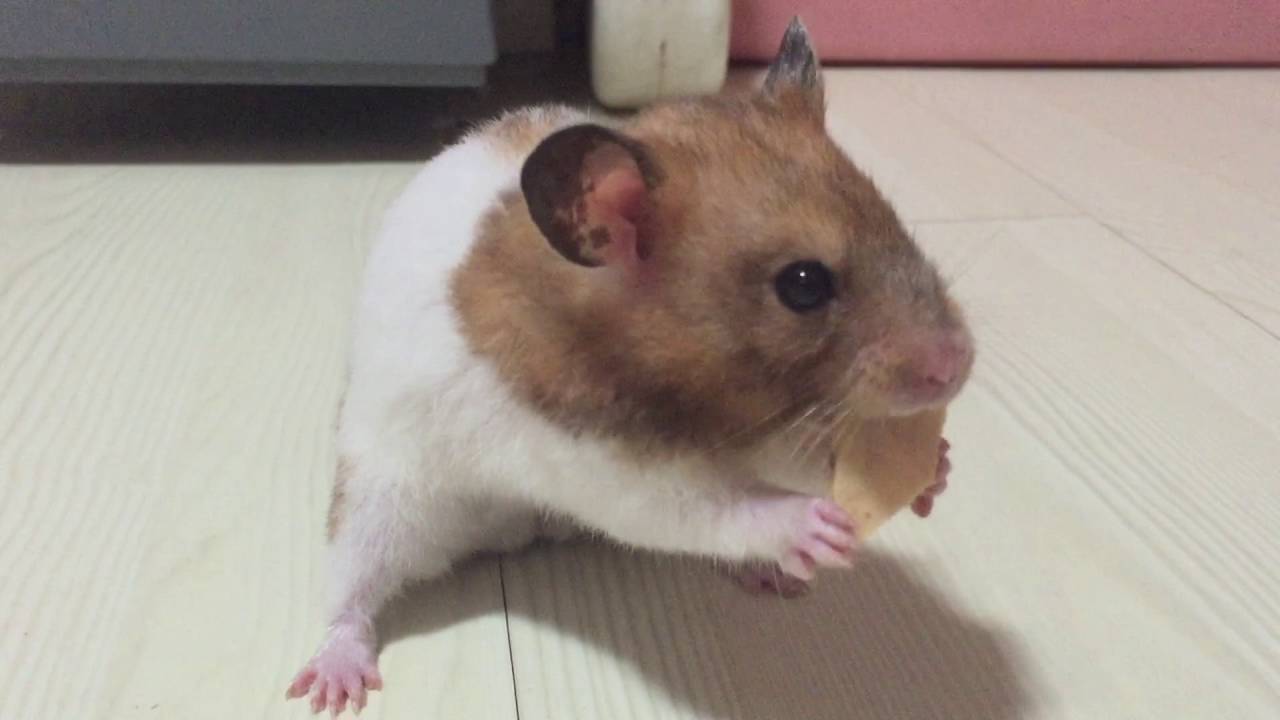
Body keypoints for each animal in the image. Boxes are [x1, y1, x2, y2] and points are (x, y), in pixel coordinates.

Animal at [287, 18, 973, 716]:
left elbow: (800, 467)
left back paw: (774, 580)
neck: (699, 402)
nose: (960, 364)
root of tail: (513, 532)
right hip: (381, 498)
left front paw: (937, 469)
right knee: (350, 589)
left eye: (893, 219)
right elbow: (701, 511)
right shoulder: (588, 461)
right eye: (803, 285)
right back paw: (331, 687)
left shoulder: (772, 428)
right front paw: (817, 529)